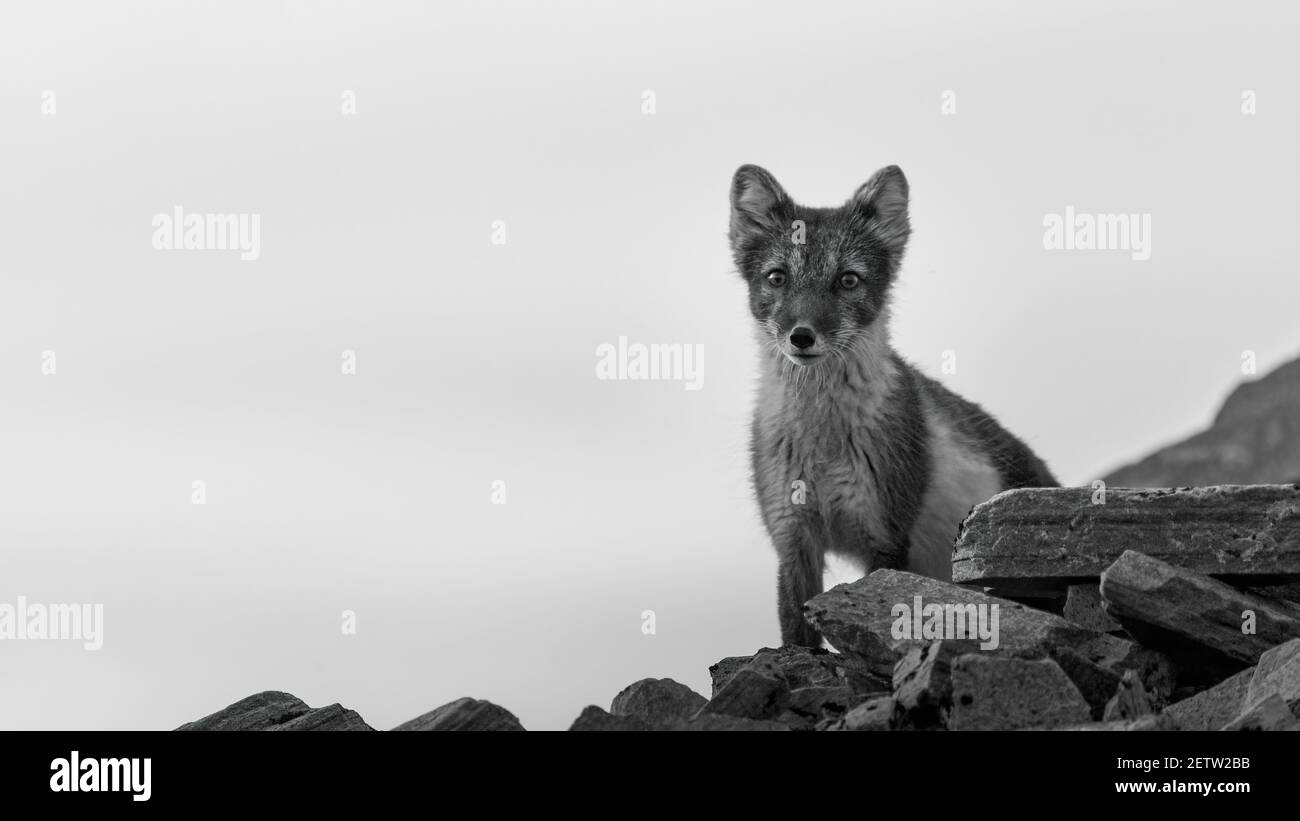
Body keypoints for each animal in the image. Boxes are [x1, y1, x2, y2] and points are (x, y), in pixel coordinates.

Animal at [728, 164, 1059, 647]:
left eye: (848, 279)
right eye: (777, 277)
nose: (802, 336)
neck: (824, 442)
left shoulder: (885, 537)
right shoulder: (793, 538)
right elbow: (795, 635)